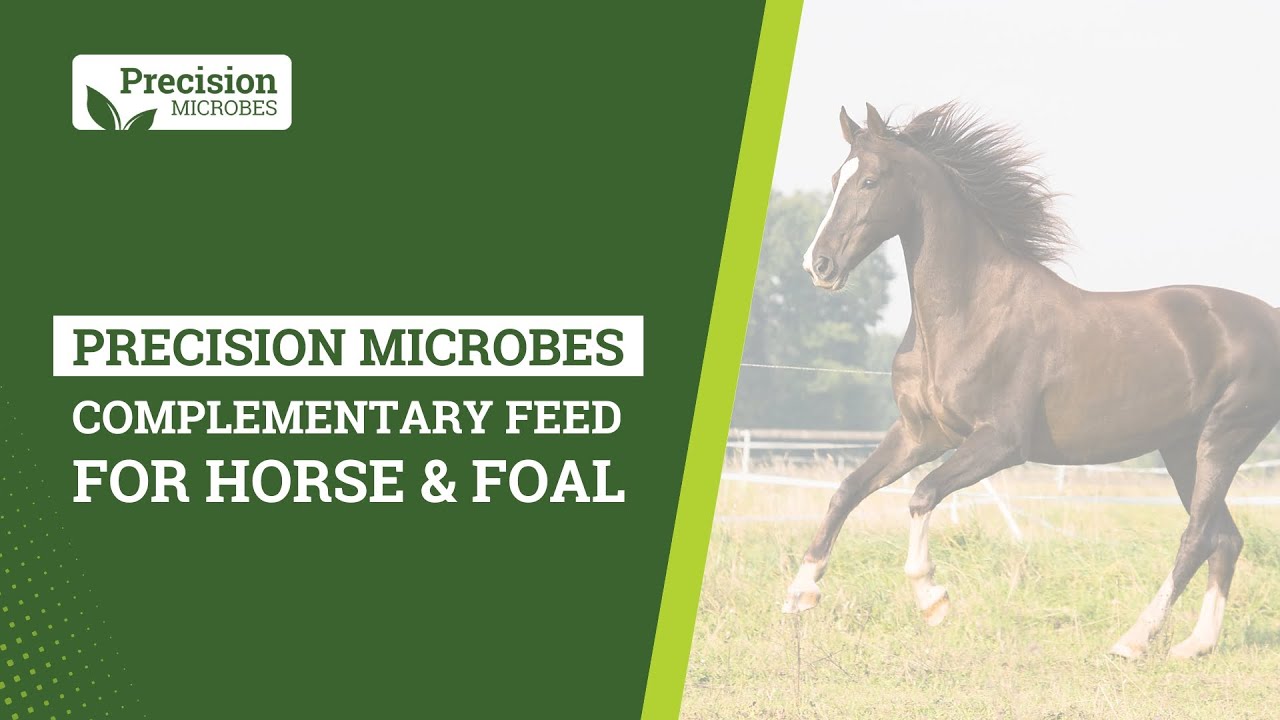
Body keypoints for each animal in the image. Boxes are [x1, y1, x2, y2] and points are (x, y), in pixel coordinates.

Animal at [781, 101, 1280, 660]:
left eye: (869, 180)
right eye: (834, 179)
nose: (819, 265)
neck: (970, 311)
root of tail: (1271, 317)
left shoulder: (1000, 442)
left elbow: (922, 495)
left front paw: (932, 598)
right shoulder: (920, 434)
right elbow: (847, 489)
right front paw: (801, 592)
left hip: (1223, 439)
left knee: (1196, 537)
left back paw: (1133, 639)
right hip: (1181, 449)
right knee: (1225, 538)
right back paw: (1196, 644)